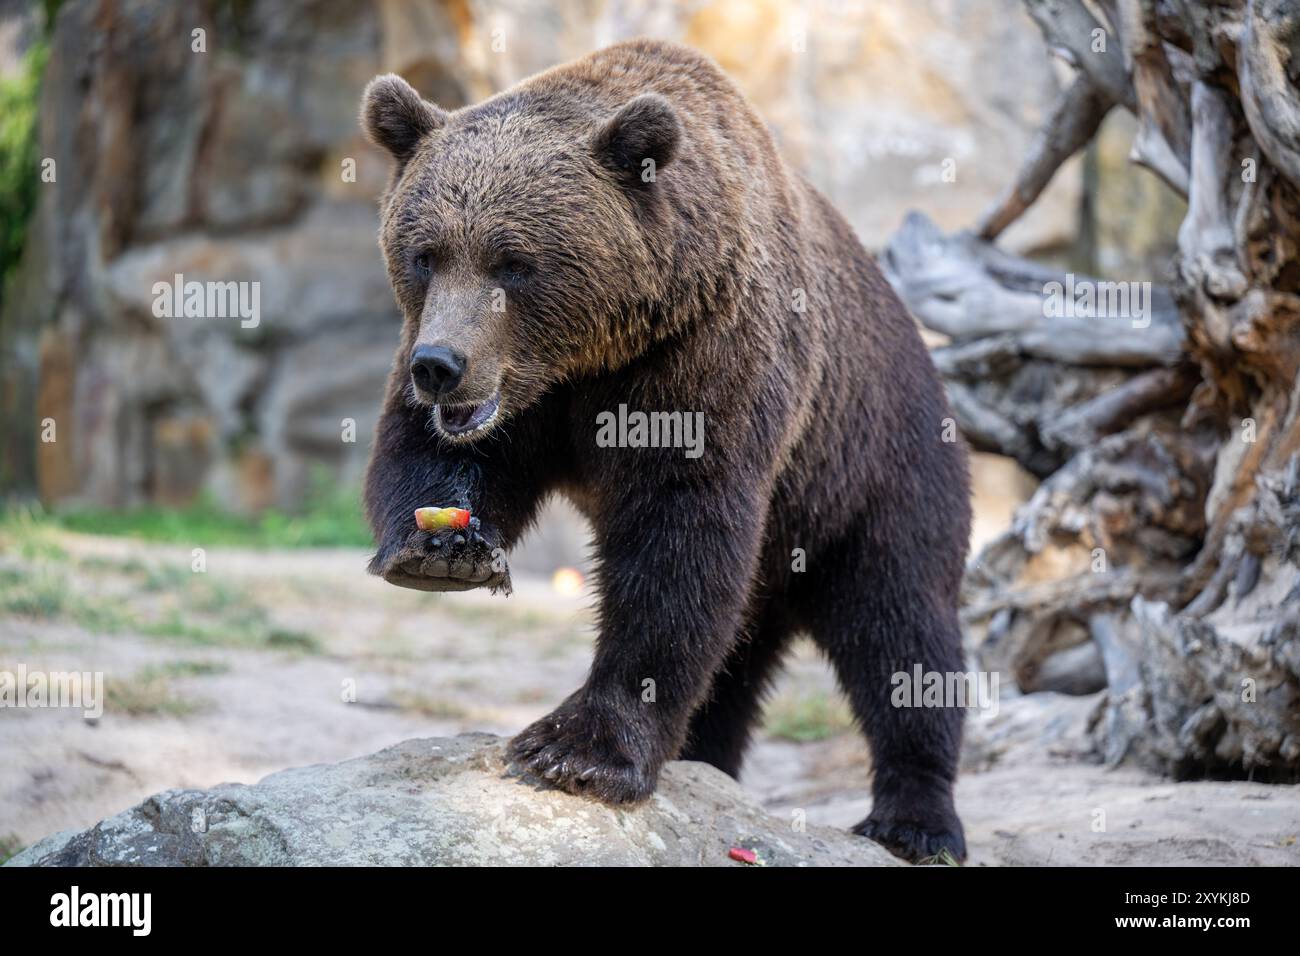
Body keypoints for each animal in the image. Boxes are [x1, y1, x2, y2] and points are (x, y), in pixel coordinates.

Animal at [359, 39, 971, 863]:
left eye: (513, 262)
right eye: (425, 254)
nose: (442, 366)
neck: (594, 353)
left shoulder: (707, 360)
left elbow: (678, 543)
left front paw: (575, 751)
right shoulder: (519, 395)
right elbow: (430, 452)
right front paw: (443, 548)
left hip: (875, 467)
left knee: (901, 626)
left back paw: (914, 818)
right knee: (738, 660)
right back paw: (707, 759)